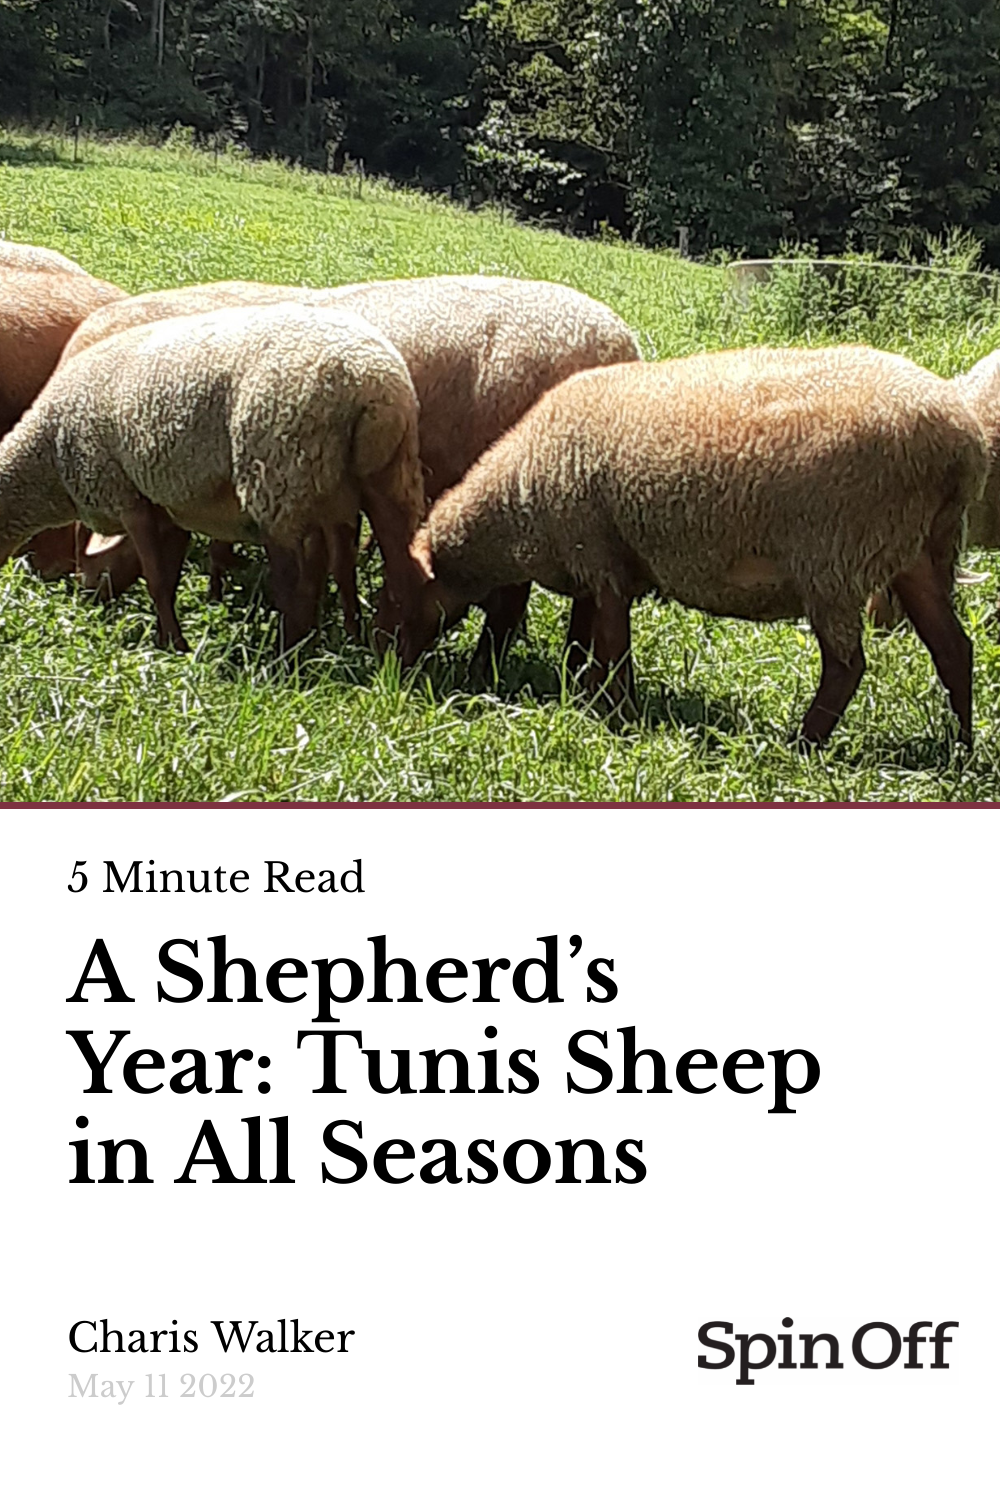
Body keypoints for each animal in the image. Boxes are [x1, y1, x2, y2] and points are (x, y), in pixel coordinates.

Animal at [0, 303, 426, 651]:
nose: (83, 600)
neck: (48, 456)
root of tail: (372, 382)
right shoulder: (165, 505)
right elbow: (167, 577)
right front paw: (167, 639)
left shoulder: (125, 495)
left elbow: (156, 578)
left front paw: (176, 646)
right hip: (381, 477)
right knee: (391, 569)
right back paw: (381, 651)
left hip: (277, 475)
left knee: (295, 582)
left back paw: (287, 658)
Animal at [374, 345, 987, 748]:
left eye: (400, 598)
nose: (388, 675)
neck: (520, 497)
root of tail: (963, 438)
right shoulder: (598, 561)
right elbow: (585, 643)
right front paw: (582, 695)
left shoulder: (601, 558)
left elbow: (612, 646)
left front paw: (615, 715)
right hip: (914, 552)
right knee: (953, 649)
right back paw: (959, 746)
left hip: (835, 559)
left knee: (846, 666)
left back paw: (802, 744)